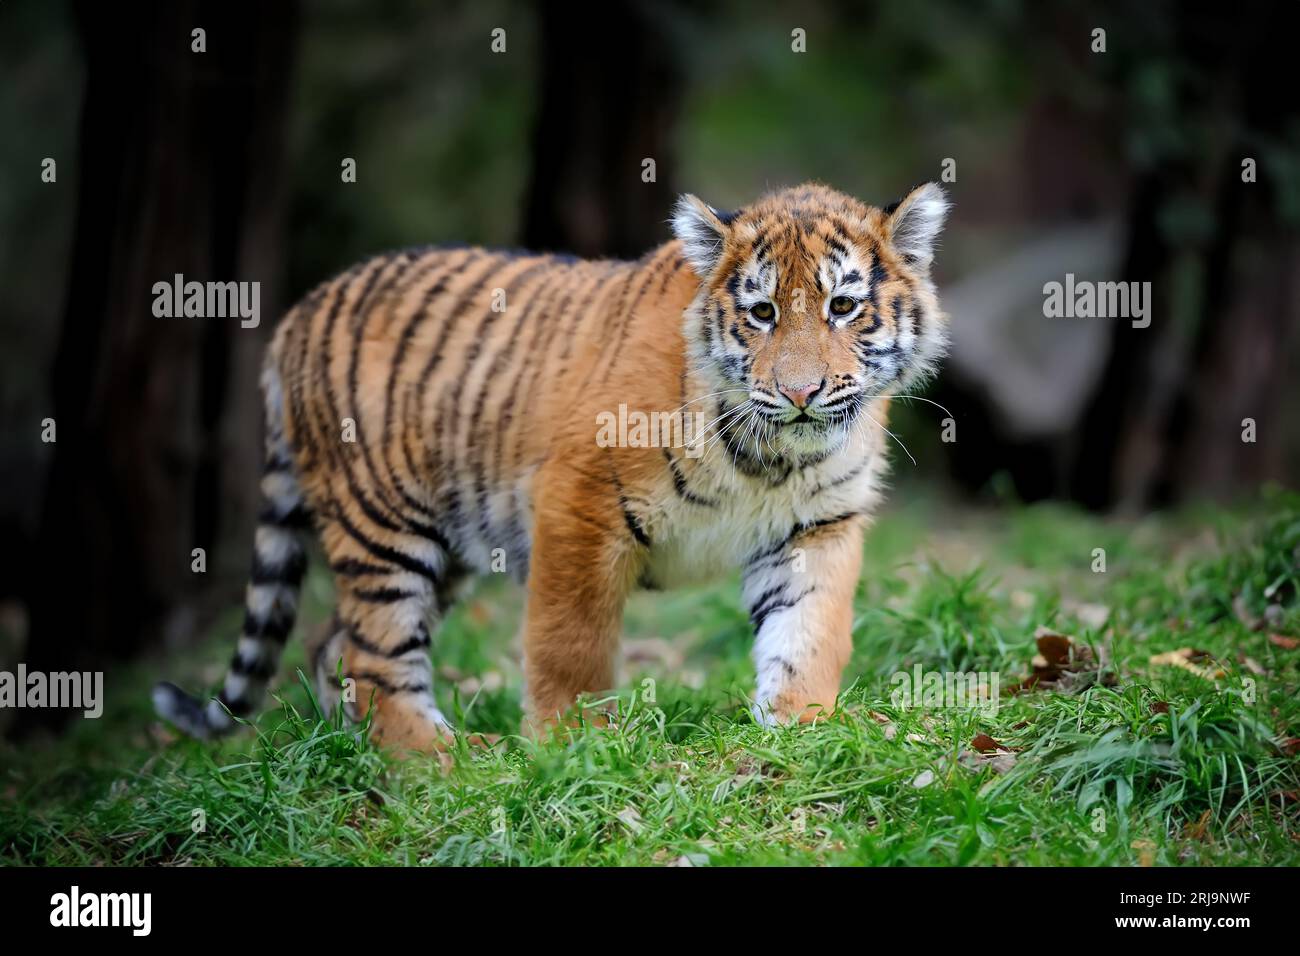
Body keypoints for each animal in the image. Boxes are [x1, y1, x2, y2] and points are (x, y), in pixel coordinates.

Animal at [152, 181, 951, 754]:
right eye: (760, 314)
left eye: (842, 306)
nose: (799, 392)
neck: (773, 459)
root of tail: (296, 315)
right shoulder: (581, 498)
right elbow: (570, 641)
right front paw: (572, 745)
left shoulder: (818, 527)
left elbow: (808, 630)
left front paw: (800, 725)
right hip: (383, 527)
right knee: (377, 660)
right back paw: (439, 762)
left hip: (445, 548)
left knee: (333, 648)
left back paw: (355, 751)